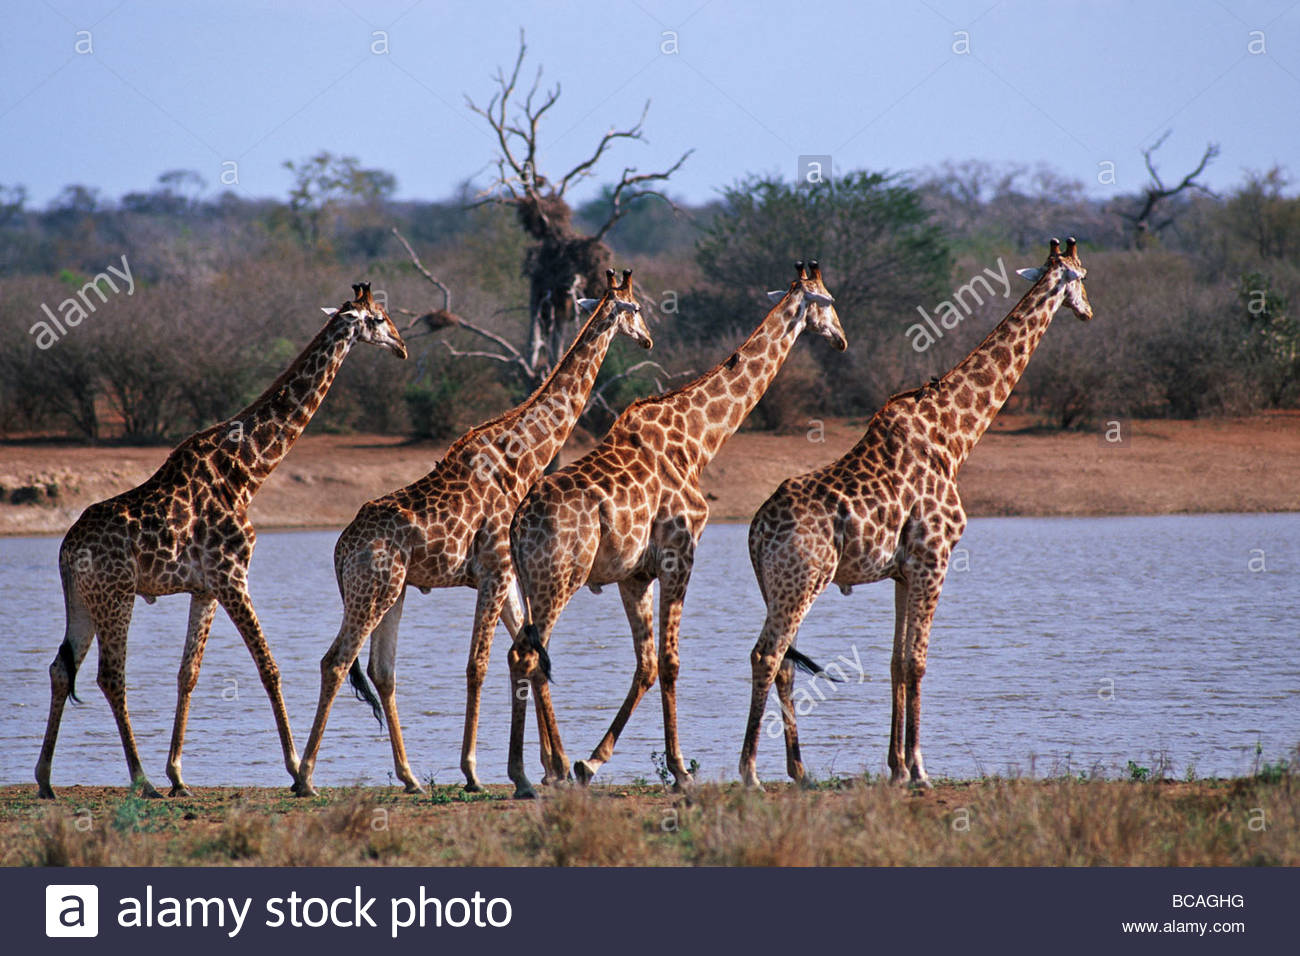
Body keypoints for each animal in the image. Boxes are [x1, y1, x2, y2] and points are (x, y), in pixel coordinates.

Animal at [34, 283, 407, 800]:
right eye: (379, 318)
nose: (402, 347)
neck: (248, 471)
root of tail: (65, 551)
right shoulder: (233, 576)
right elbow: (269, 667)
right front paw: (297, 769)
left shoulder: (205, 588)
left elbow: (187, 673)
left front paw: (178, 774)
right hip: (116, 594)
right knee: (110, 676)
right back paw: (140, 780)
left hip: (83, 599)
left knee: (60, 668)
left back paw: (46, 779)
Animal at [292, 269, 651, 796]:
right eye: (637, 308)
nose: (647, 339)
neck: (521, 457)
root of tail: (339, 550)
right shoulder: (495, 571)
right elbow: (479, 663)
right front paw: (475, 770)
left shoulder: (505, 576)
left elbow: (529, 655)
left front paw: (554, 766)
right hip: (369, 591)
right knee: (335, 661)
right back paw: (305, 777)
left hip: (392, 591)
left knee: (381, 669)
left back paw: (410, 777)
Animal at [505, 262, 847, 797]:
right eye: (828, 301)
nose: (841, 339)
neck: (699, 439)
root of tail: (518, 524)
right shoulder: (680, 552)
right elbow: (670, 662)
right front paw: (681, 771)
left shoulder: (634, 574)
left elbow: (646, 663)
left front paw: (592, 763)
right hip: (557, 579)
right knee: (527, 656)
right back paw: (530, 774)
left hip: (536, 581)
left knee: (526, 655)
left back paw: (550, 768)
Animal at [739, 238, 1093, 790]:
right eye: (1083, 276)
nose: (1089, 311)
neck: (956, 434)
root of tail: (754, 533)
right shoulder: (934, 557)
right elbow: (919, 662)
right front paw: (921, 769)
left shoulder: (903, 571)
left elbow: (895, 662)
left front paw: (897, 767)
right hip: (802, 579)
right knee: (767, 654)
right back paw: (751, 772)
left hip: (781, 586)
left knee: (785, 663)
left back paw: (799, 770)